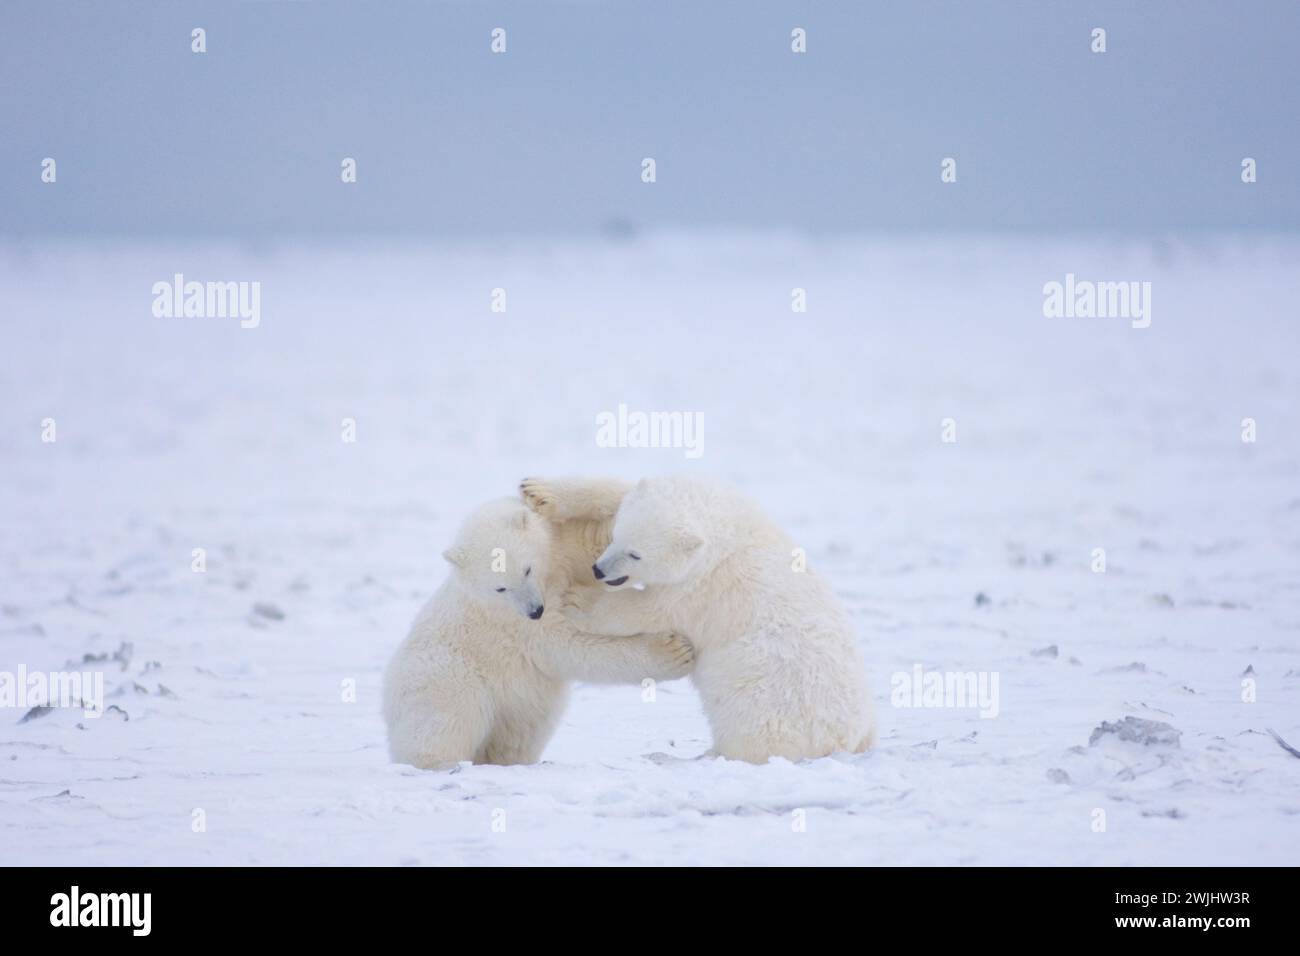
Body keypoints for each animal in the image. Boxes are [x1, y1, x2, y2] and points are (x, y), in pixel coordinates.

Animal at [382, 495, 695, 769]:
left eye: (527, 570)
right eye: (500, 587)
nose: (536, 610)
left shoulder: (561, 552)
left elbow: (592, 549)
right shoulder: (518, 626)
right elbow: (570, 648)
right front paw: (674, 652)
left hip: (516, 710)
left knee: (520, 733)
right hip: (445, 675)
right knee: (445, 719)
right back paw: (440, 762)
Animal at [520, 475, 875, 763]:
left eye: (636, 554)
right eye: (617, 536)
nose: (598, 570)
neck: (723, 530)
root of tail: (854, 736)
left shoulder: (700, 589)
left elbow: (645, 609)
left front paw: (576, 599)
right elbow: (618, 490)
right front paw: (539, 492)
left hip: (765, 693)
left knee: (755, 734)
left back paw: (709, 753)